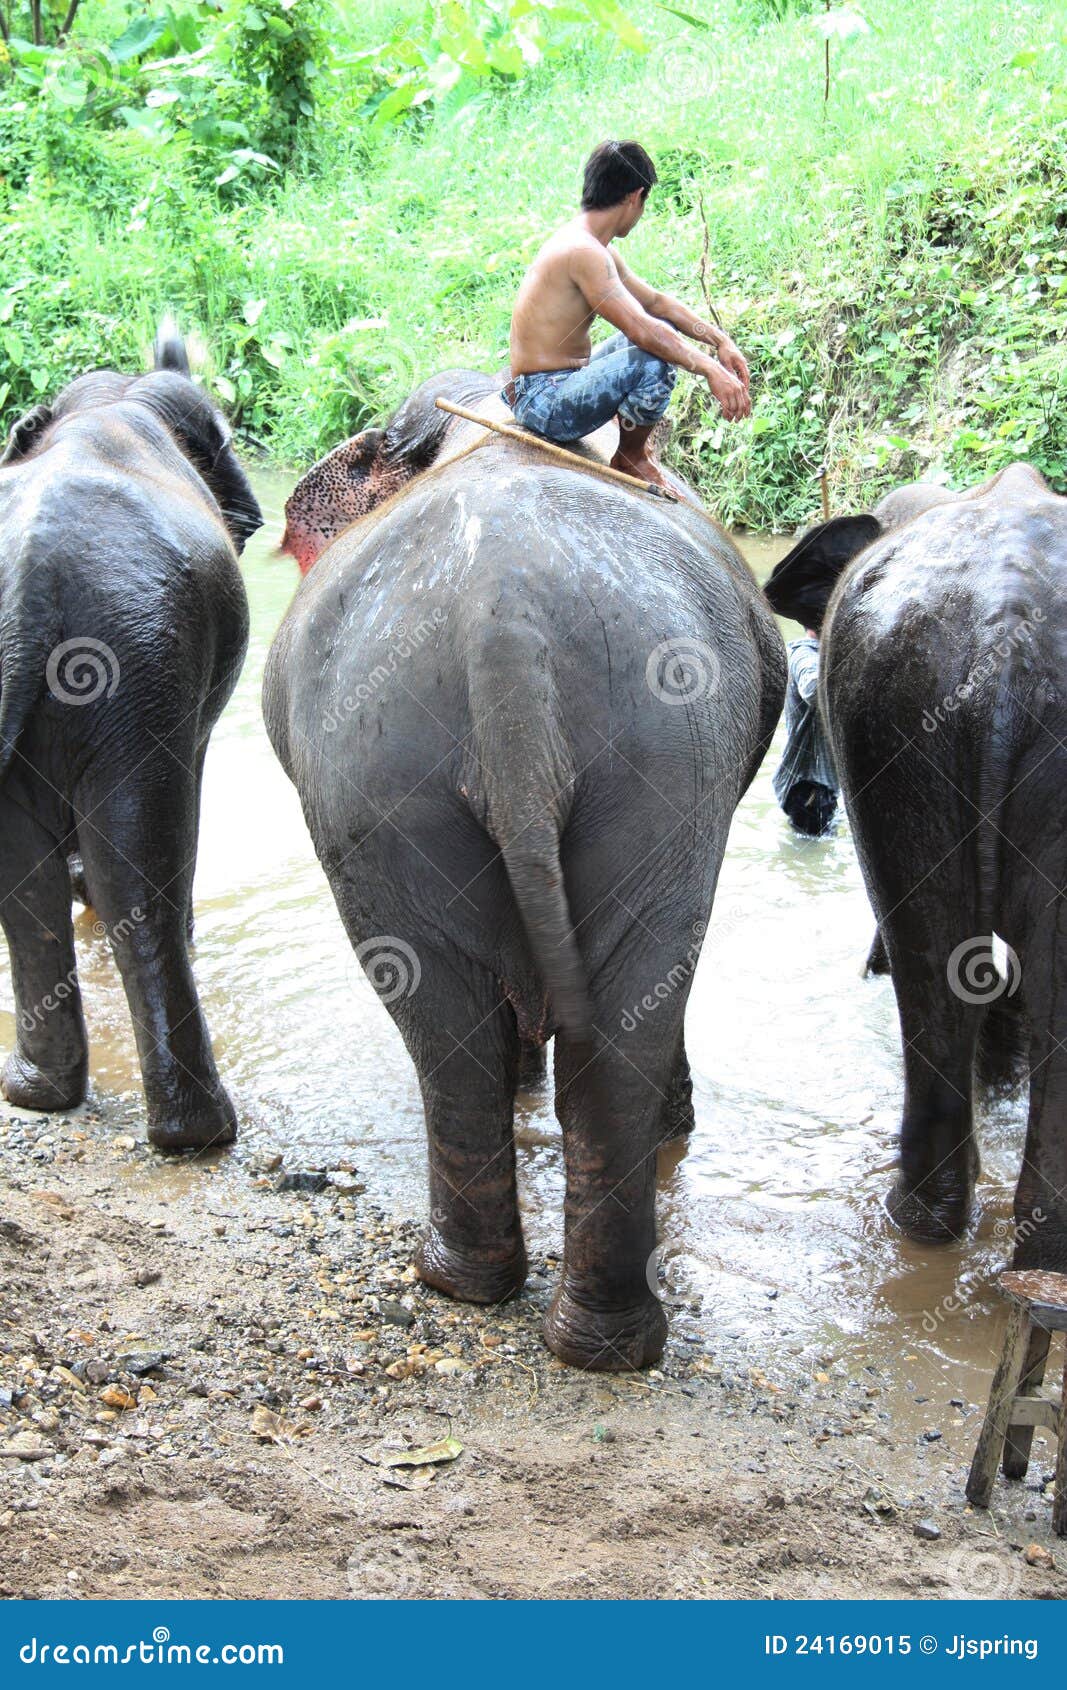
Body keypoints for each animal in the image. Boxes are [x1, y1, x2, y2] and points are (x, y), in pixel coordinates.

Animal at [0, 321, 262, 1149]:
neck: (111, 402)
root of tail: (25, 580)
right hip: (132, 659)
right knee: (137, 869)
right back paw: (197, 1134)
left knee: (25, 880)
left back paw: (33, 1092)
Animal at [264, 370, 786, 1369]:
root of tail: (500, 636)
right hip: (630, 765)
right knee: (576, 1016)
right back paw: (570, 1325)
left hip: (395, 777)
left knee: (452, 1021)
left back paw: (498, 1299)